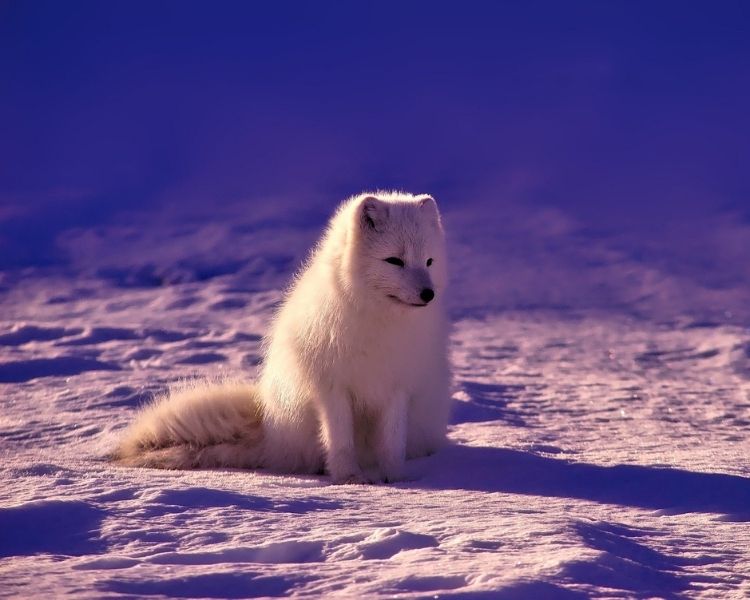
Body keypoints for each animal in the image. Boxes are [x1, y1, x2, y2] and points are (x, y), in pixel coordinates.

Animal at [113, 191, 452, 483]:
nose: (428, 294)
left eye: (429, 261)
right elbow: (340, 440)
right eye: (394, 261)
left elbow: (392, 443)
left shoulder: (398, 386)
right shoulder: (332, 387)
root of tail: (269, 430)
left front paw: (395, 478)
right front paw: (350, 478)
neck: (379, 322)